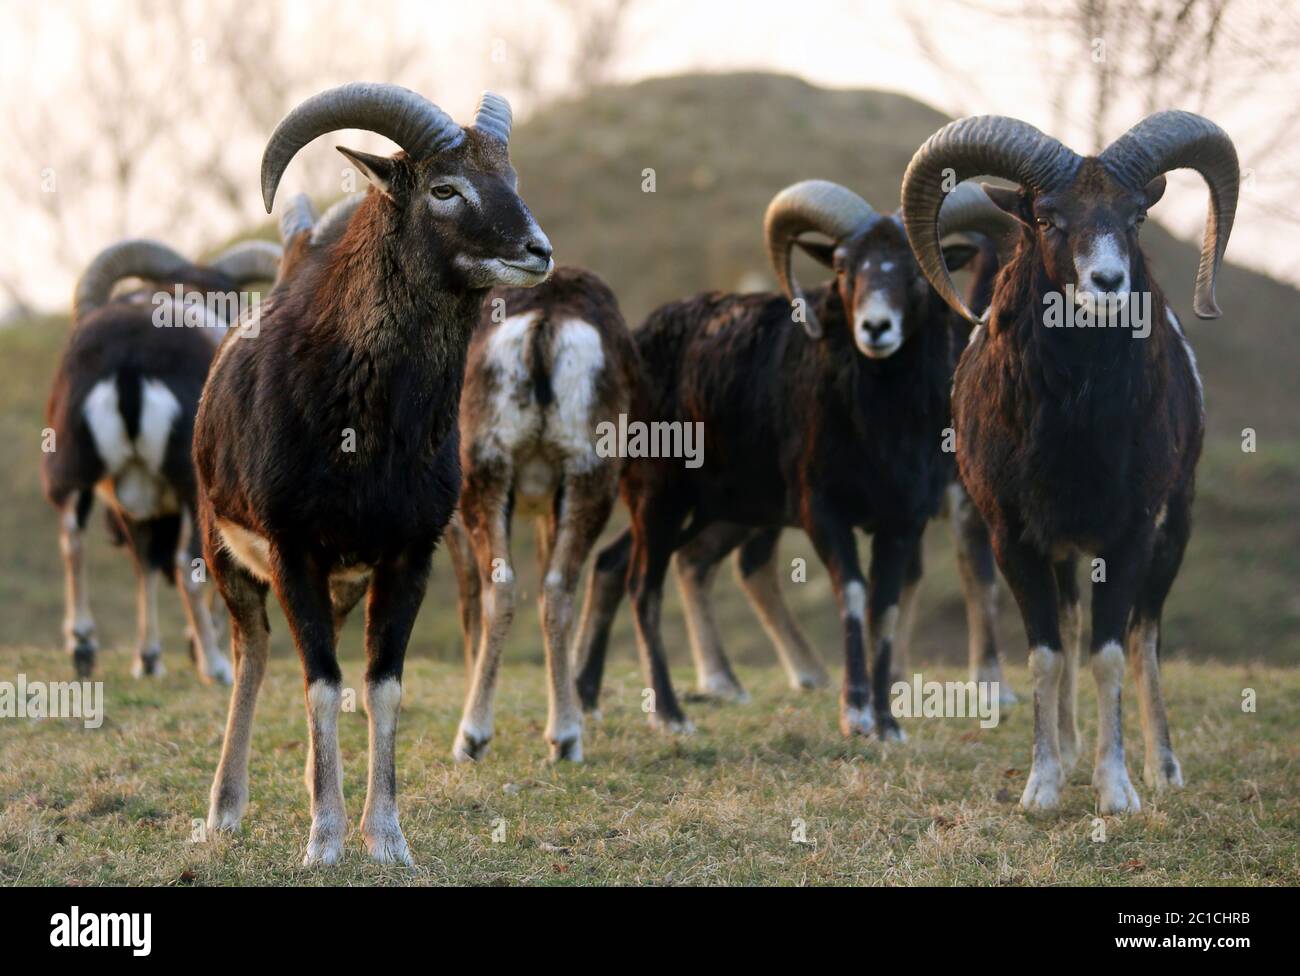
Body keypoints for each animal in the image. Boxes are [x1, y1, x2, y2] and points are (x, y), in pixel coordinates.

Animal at [42, 237, 281, 683]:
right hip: (194, 489)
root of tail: (130, 355)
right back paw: (216, 667)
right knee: (188, 567)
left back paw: (83, 645)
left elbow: (144, 569)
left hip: (71, 469)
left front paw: (148, 658)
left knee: (73, 538)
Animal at [196, 83, 552, 866]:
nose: (537, 251)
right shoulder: (293, 551)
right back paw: (224, 811)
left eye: (512, 179)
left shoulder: (405, 556)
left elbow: (380, 687)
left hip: (342, 584)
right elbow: (321, 685)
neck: (366, 428)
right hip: (226, 553)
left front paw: (386, 840)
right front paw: (324, 844)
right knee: (254, 655)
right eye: (445, 188)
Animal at [443, 266, 641, 764]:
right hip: (588, 476)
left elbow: (468, 598)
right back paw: (566, 737)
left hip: (484, 475)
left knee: (499, 589)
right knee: (556, 590)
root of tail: (545, 323)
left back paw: (471, 737)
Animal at [571, 180, 1013, 739]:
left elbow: (886, 607)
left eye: (916, 269)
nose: (875, 328)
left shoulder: (903, 521)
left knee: (612, 564)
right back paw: (671, 715)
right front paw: (855, 714)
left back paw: (587, 697)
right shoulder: (823, 512)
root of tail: (636, 341)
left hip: (705, 510)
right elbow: (853, 595)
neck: (878, 424)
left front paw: (888, 724)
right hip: (658, 498)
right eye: (844, 267)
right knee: (643, 587)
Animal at [901, 110, 1239, 812]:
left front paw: (1118, 792)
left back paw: (1163, 769)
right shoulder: (1015, 538)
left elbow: (1110, 653)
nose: (1107, 284)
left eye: (1135, 215)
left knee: (1143, 638)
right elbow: (1047, 654)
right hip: (1062, 552)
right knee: (1072, 621)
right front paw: (1043, 787)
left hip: (1174, 530)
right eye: (1047, 216)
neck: (1076, 432)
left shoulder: (1131, 534)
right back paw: (1074, 748)